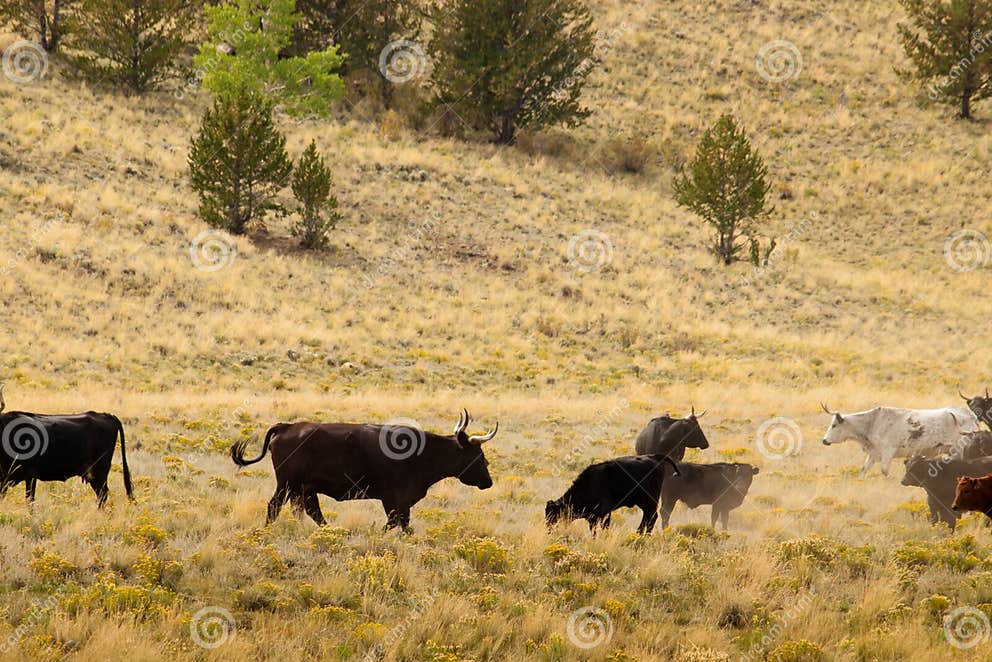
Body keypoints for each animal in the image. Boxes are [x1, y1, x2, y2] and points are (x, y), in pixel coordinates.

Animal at [230, 409, 497, 531]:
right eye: (478, 456)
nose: (488, 482)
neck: (424, 453)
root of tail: (288, 426)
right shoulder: (395, 500)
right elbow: (396, 524)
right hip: (286, 485)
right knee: (275, 507)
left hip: (303, 489)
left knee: (310, 512)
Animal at [545, 455, 680, 533]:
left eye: (553, 515)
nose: (548, 529)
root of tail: (655, 457)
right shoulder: (593, 517)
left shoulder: (604, 512)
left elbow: (603, 527)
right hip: (644, 503)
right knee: (648, 517)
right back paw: (639, 533)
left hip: (650, 501)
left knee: (652, 517)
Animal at [820, 403, 980, 477]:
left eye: (834, 425)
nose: (824, 440)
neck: (873, 422)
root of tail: (970, 415)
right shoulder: (874, 453)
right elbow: (864, 469)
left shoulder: (888, 452)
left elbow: (884, 471)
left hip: (958, 450)